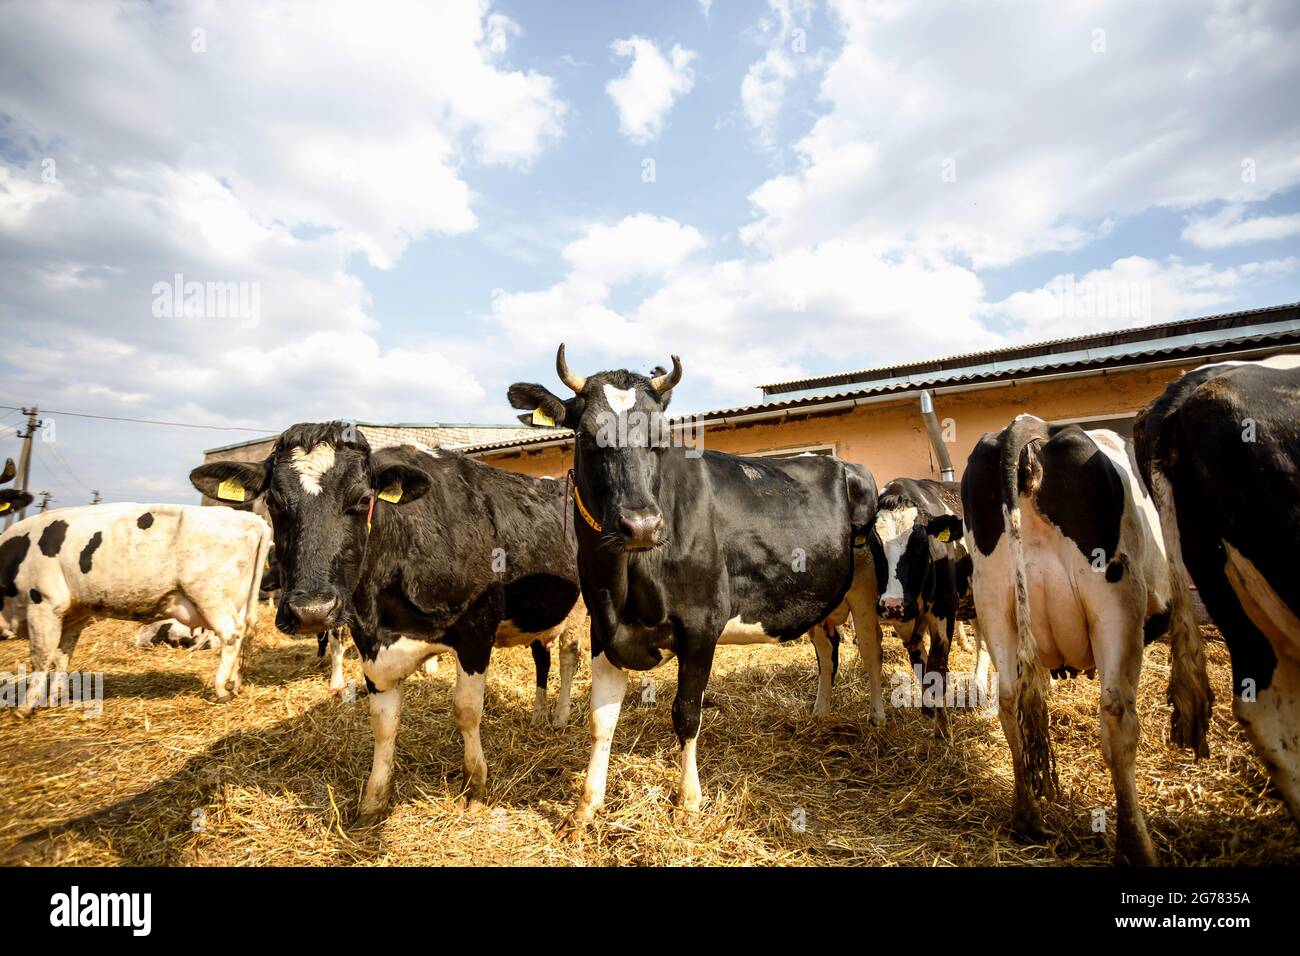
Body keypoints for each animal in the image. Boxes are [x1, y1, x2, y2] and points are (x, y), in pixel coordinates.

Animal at [0, 503, 271, 714]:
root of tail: (252, 519)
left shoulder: (43, 603)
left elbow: (40, 656)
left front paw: (25, 707)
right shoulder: (74, 614)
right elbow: (61, 656)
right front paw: (56, 696)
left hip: (209, 594)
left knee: (231, 634)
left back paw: (222, 689)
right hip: (240, 600)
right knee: (243, 635)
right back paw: (234, 684)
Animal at [190, 426, 586, 826]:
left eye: (364, 499)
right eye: (273, 502)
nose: (311, 610)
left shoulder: (477, 628)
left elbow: (466, 710)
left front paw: (475, 785)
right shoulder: (370, 641)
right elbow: (383, 722)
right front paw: (373, 801)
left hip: (579, 607)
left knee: (569, 656)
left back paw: (560, 716)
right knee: (541, 657)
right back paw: (538, 714)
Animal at [507, 345, 880, 837]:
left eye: (660, 438)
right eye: (587, 436)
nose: (641, 525)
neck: (624, 579)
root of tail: (838, 462)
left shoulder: (701, 626)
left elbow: (686, 715)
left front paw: (687, 801)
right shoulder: (602, 629)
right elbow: (601, 720)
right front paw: (586, 808)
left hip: (866, 585)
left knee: (871, 650)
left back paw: (878, 717)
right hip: (814, 595)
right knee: (827, 648)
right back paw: (819, 713)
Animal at [870, 477, 989, 734]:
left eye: (920, 544)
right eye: (874, 545)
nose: (893, 604)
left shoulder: (943, 612)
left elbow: (936, 668)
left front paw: (942, 730)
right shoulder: (904, 620)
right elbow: (919, 663)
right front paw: (927, 709)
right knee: (982, 641)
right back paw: (979, 689)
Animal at [960, 415, 1205, 865]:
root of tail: (1025, 428)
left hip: (994, 601)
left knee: (1010, 703)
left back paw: (1027, 818)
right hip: (1115, 603)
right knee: (1116, 715)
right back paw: (1136, 846)